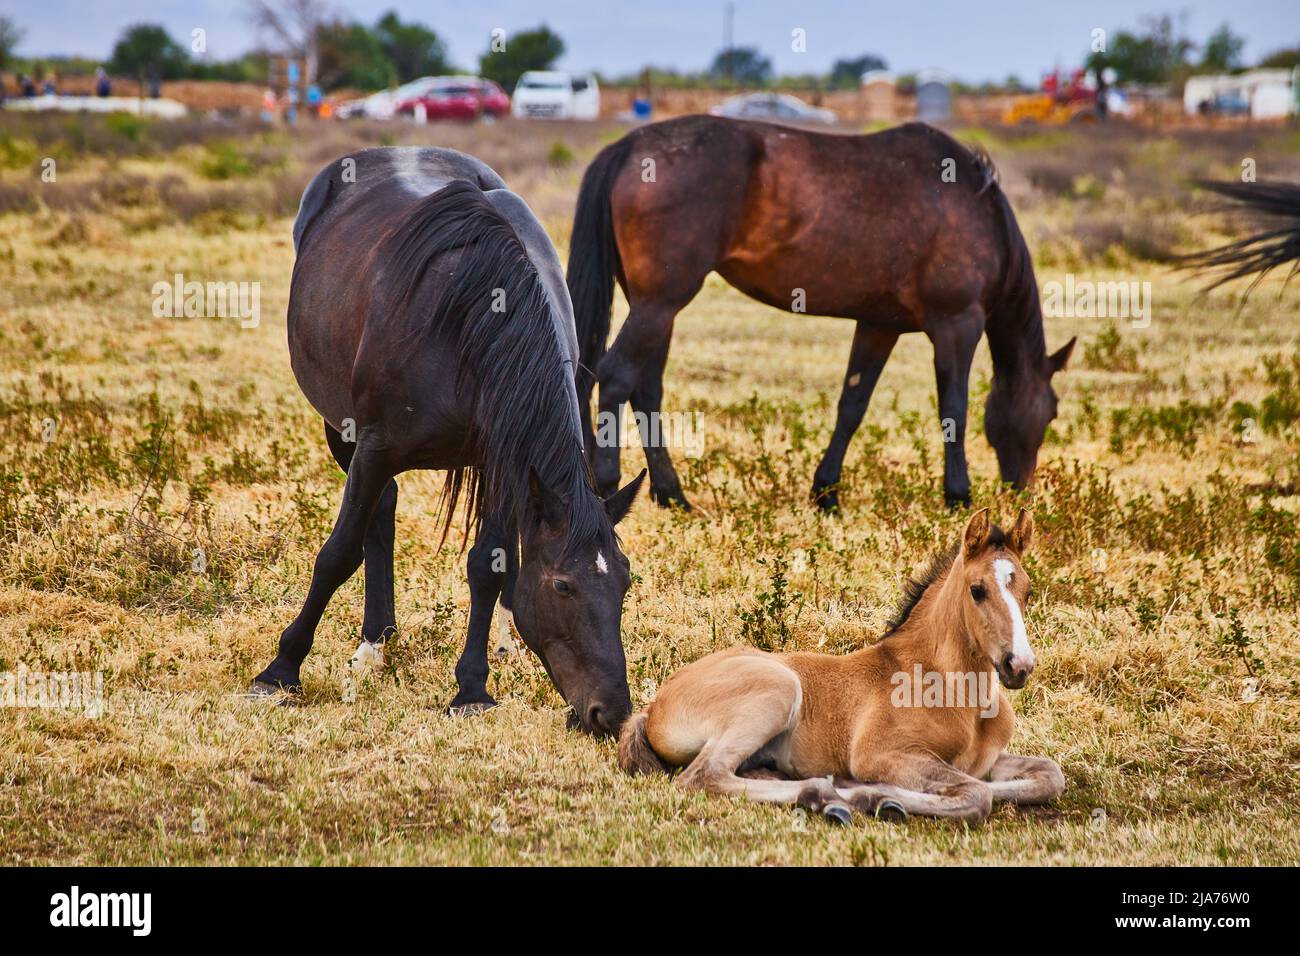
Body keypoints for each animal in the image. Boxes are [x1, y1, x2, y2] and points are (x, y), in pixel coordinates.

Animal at [248, 147, 646, 736]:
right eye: (563, 586)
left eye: (624, 582)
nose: (611, 713)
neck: (474, 321)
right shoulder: (374, 447)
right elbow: (337, 554)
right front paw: (281, 669)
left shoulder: (504, 456)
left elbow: (489, 565)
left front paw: (472, 687)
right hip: (341, 430)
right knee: (378, 513)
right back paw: (373, 642)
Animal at [566, 116, 1076, 512]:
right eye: (1051, 412)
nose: (1022, 492)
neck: (974, 207)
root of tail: (629, 147)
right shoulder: (957, 324)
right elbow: (954, 409)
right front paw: (958, 495)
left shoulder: (879, 325)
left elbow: (852, 405)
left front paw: (826, 493)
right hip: (660, 304)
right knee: (615, 377)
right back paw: (608, 486)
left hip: (654, 307)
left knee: (644, 389)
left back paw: (672, 495)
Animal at [618, 508, 1065, 823]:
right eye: (977, 590)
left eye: (1028, 590)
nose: (1019, 665)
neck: (950, 689)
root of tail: (653, 707)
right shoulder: (881, 754)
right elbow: (976, 794)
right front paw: (874, 795)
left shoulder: (986, 760)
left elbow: (1047, 775)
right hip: (777, 689)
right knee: (703, 775)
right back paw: (824, 794)